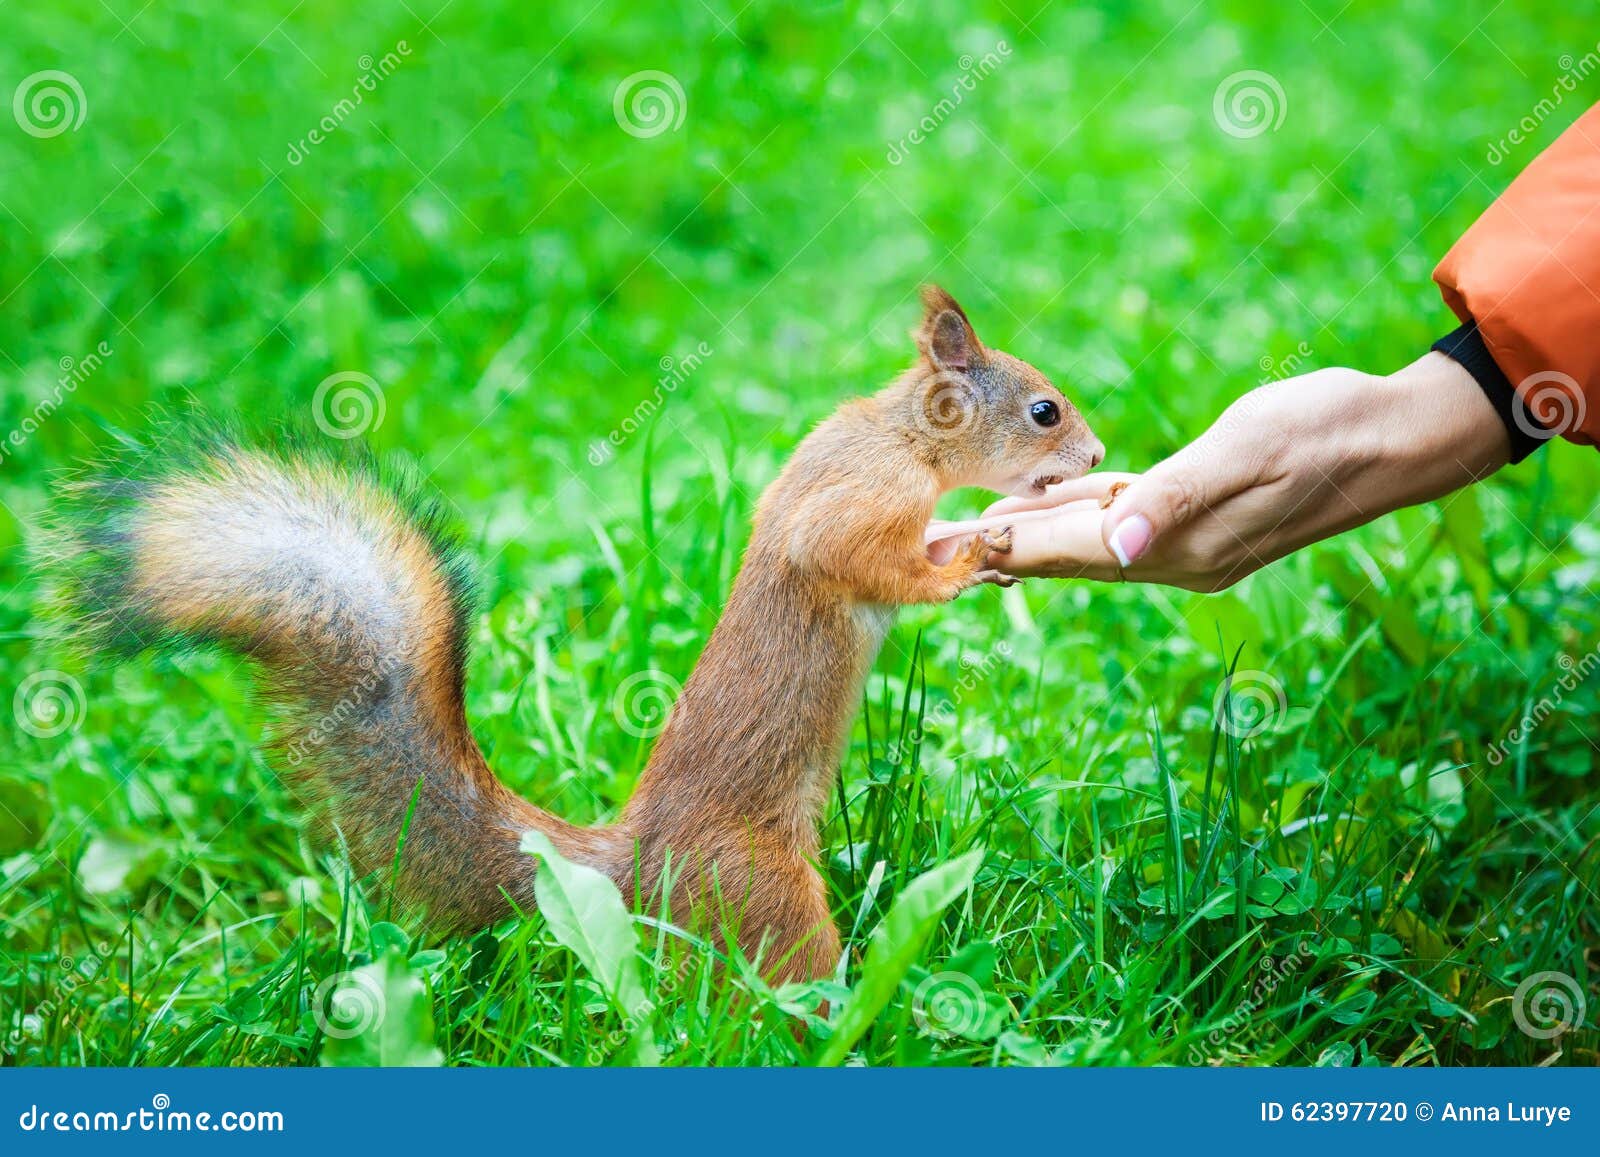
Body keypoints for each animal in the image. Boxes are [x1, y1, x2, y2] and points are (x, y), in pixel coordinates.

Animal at [48, 286, 1103, 984]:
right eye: (1043, 409)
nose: (1096, 455)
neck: (904, 436)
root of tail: (634, 868)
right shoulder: (851, 504)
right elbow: (859, 561)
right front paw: (968, 562)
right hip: (765, 889)